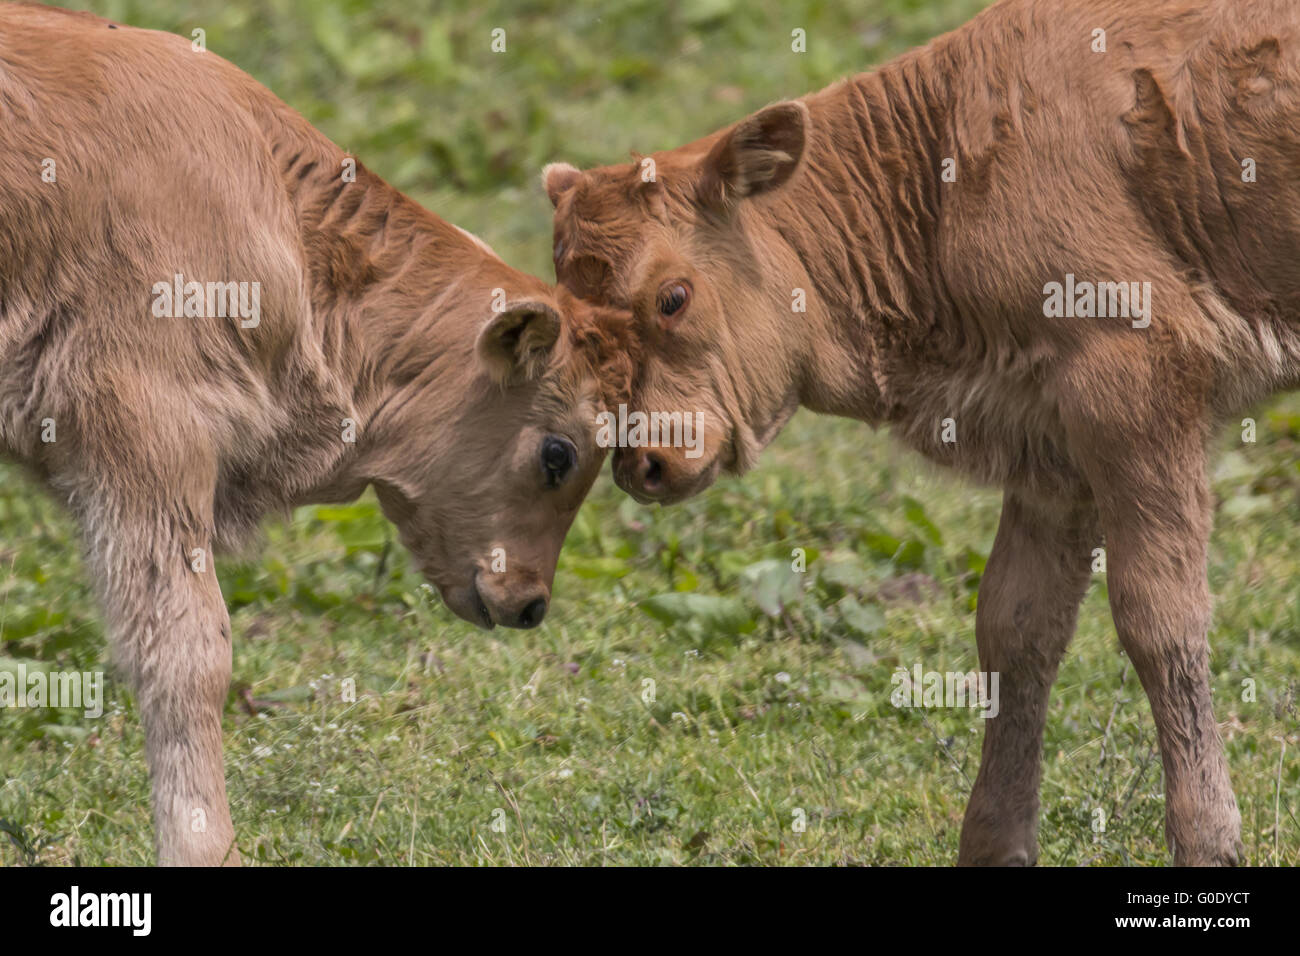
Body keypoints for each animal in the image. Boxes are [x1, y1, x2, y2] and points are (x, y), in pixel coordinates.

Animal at [545, 0, 1300, 865]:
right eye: (568, 328)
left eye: (672, 297)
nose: (643, 463)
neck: (940, 173)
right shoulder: (1048, 448)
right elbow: (1015, 628)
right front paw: (995, 843)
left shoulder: (1134, 392)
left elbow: (1160, 620)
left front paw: (1209, 839)